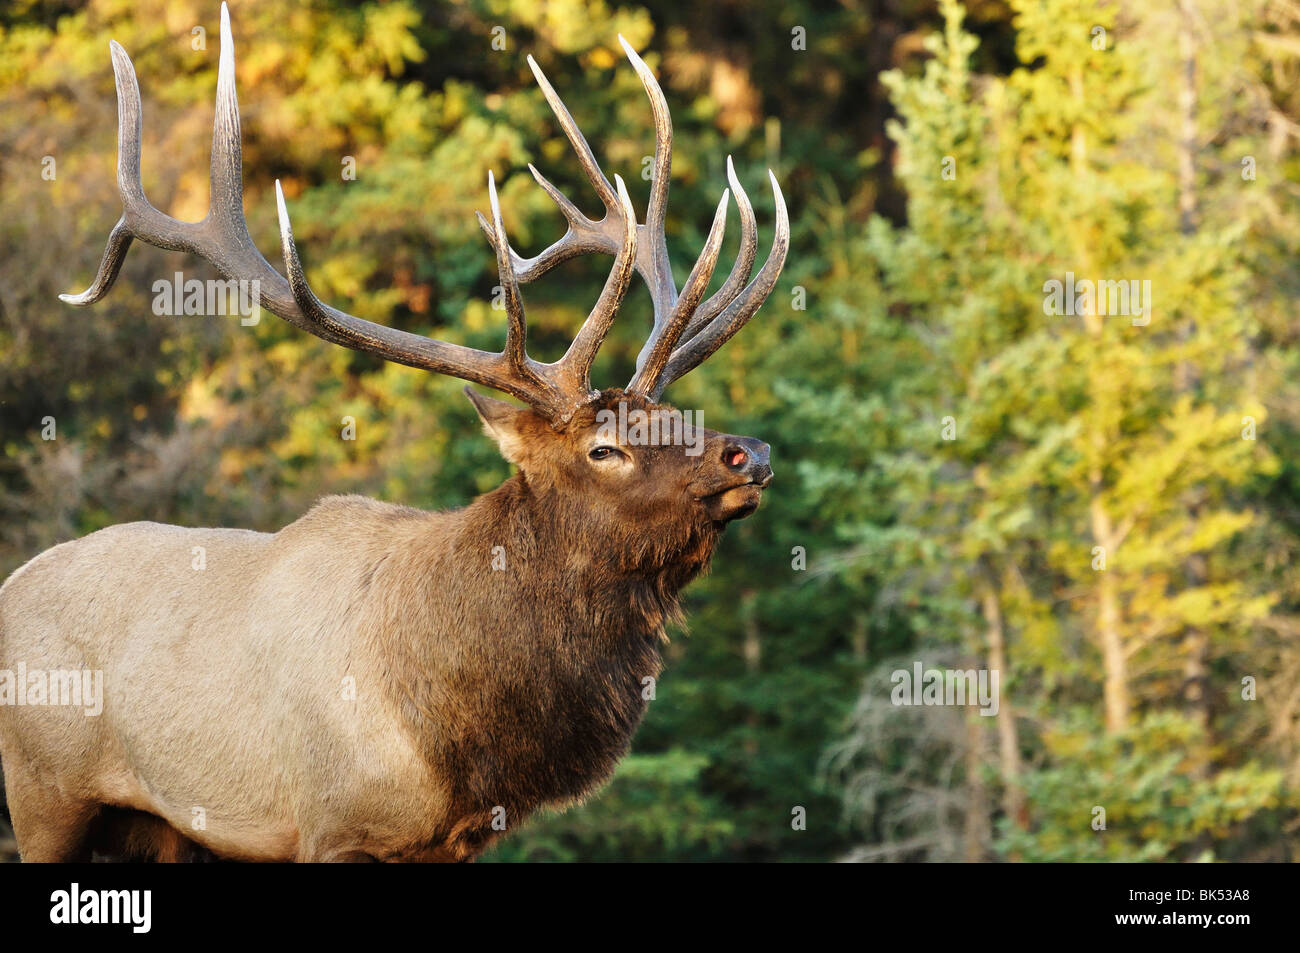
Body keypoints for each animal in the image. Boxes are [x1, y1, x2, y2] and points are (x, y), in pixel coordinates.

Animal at [0, 3, 787, 862]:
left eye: (678, 417)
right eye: (602, 447)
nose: (750, 452)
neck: (451, 739)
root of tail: (10, 585)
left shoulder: (458, 840)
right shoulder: (332, 821)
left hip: (165, 827)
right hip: (43, 791)